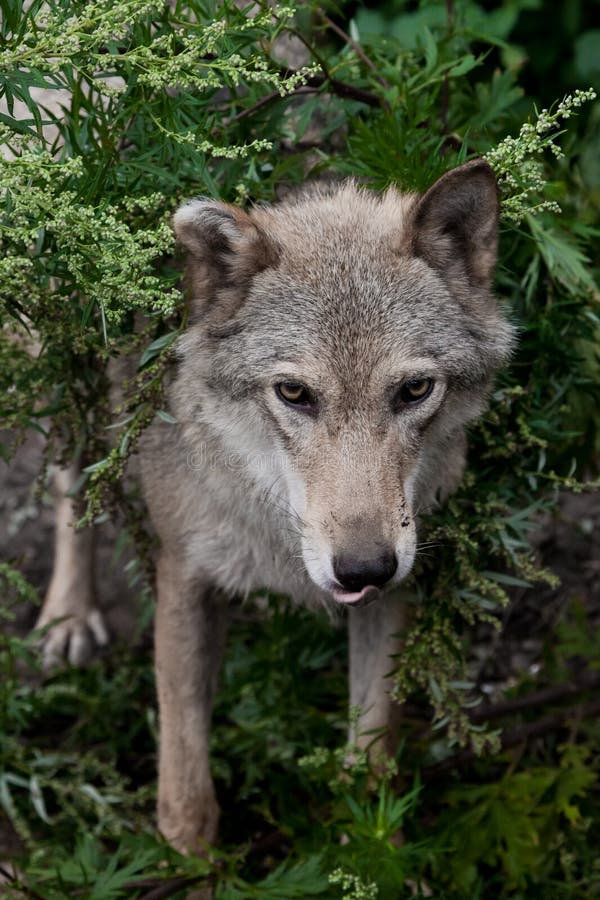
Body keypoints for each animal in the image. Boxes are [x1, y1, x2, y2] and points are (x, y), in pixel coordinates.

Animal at [132, 159, 515, 853]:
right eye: (293, 393)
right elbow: (184, 783)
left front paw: (368, 844)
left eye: (415, 390)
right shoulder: (183, 574)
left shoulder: (393, 592)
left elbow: (371, 755)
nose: (363, 568)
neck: (281, 542)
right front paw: (189, 861)